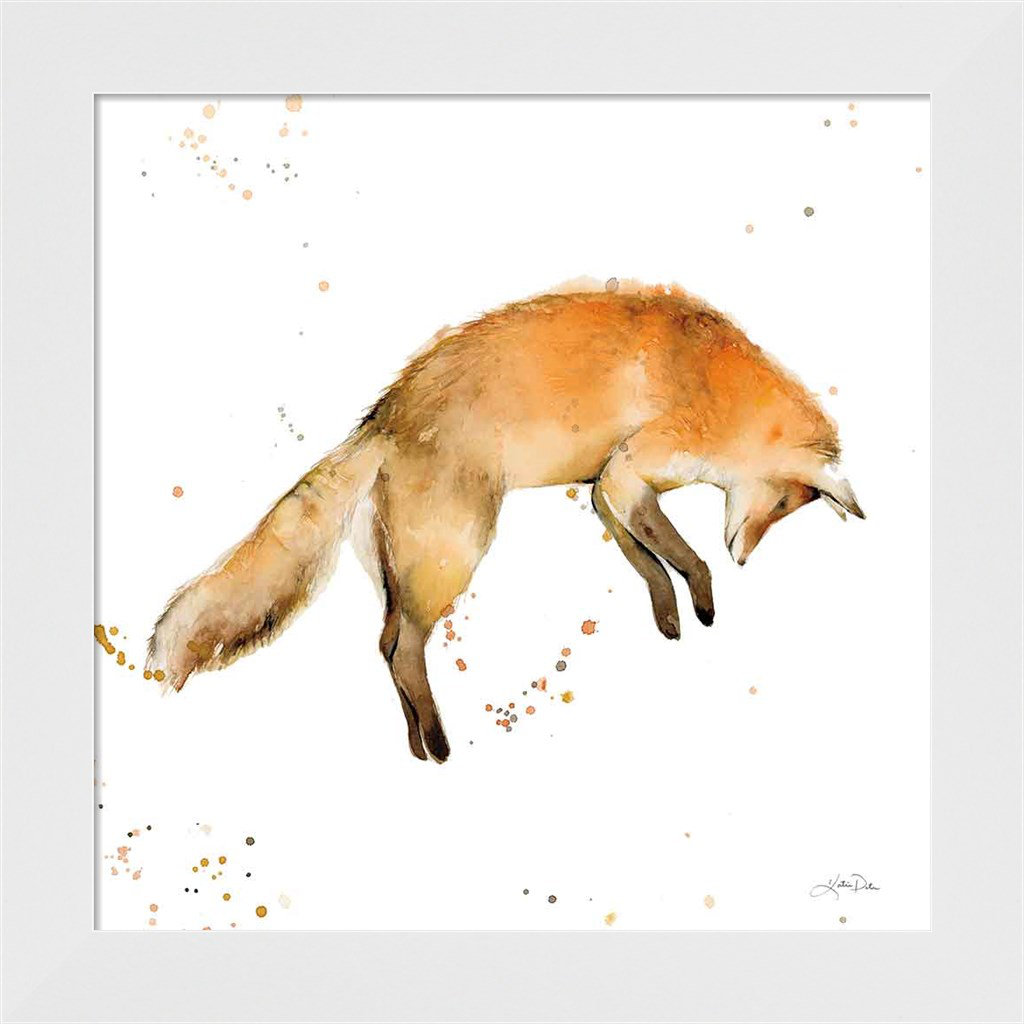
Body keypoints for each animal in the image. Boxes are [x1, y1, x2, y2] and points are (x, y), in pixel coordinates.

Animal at [148, 278, 864, 763]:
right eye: (781, 504)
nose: (746, 555)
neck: (720, 387)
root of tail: (384, 417)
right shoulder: (628, 473)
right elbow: (686, 556)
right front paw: (705, 596)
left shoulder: (607, 490)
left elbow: (649, 563)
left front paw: (670, 615)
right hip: (454, 553)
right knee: (403, 647)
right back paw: (439, 743)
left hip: (407, 568)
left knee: (385, 645)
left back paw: (416, 742)